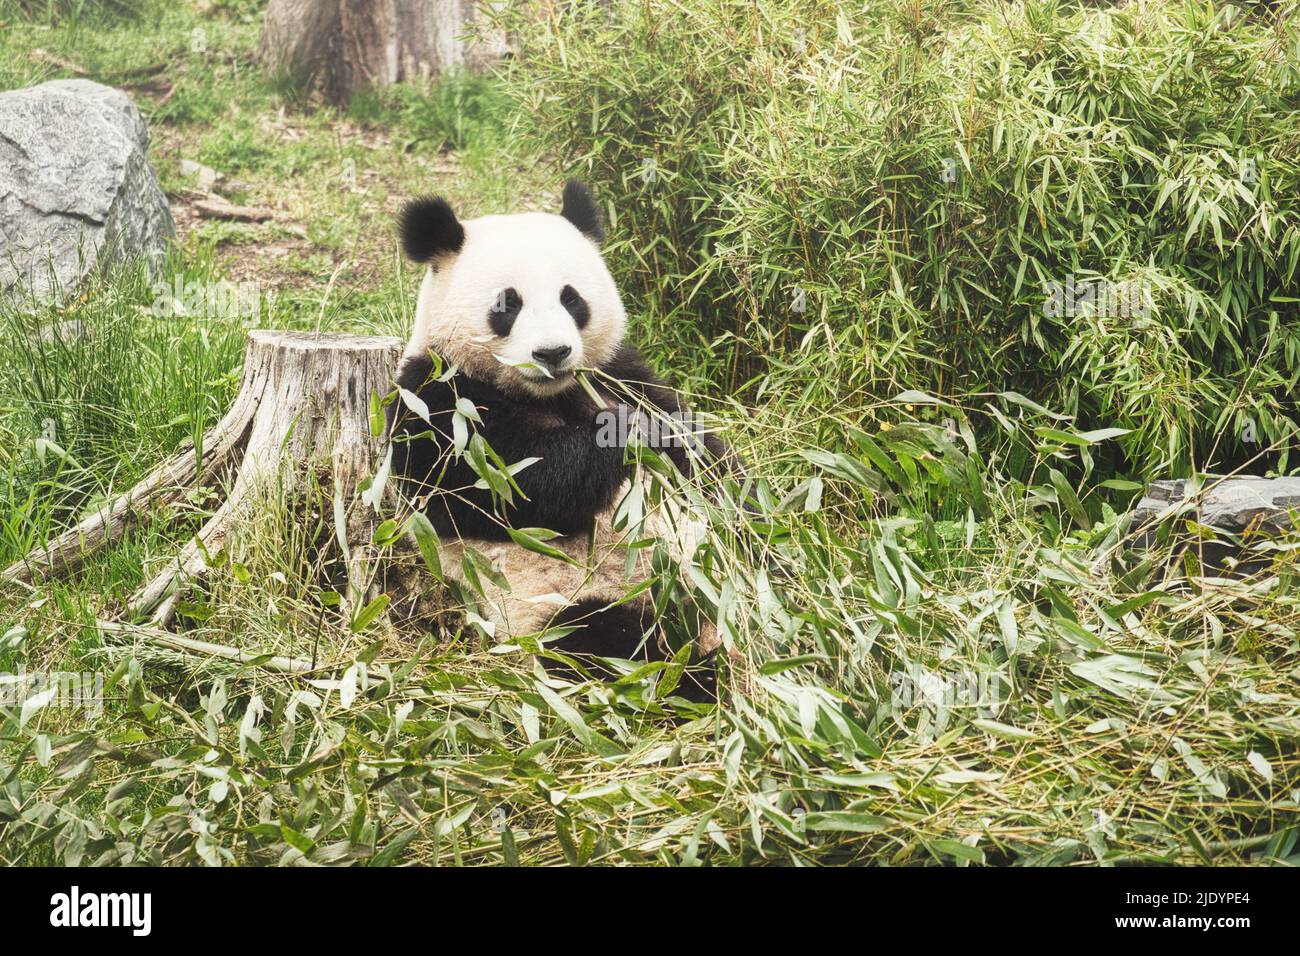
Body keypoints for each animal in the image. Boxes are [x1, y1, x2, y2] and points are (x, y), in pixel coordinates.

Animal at [386, 181, 735, 702]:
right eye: (507, 304)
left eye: (572, 299)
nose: (553, 353)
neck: (547, 394)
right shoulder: (436, 401)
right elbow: (513, 490)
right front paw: (623, 433)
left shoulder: (619, 372)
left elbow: (701, 456)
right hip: (563, 603)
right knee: (605, 643)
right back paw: (691, 675)